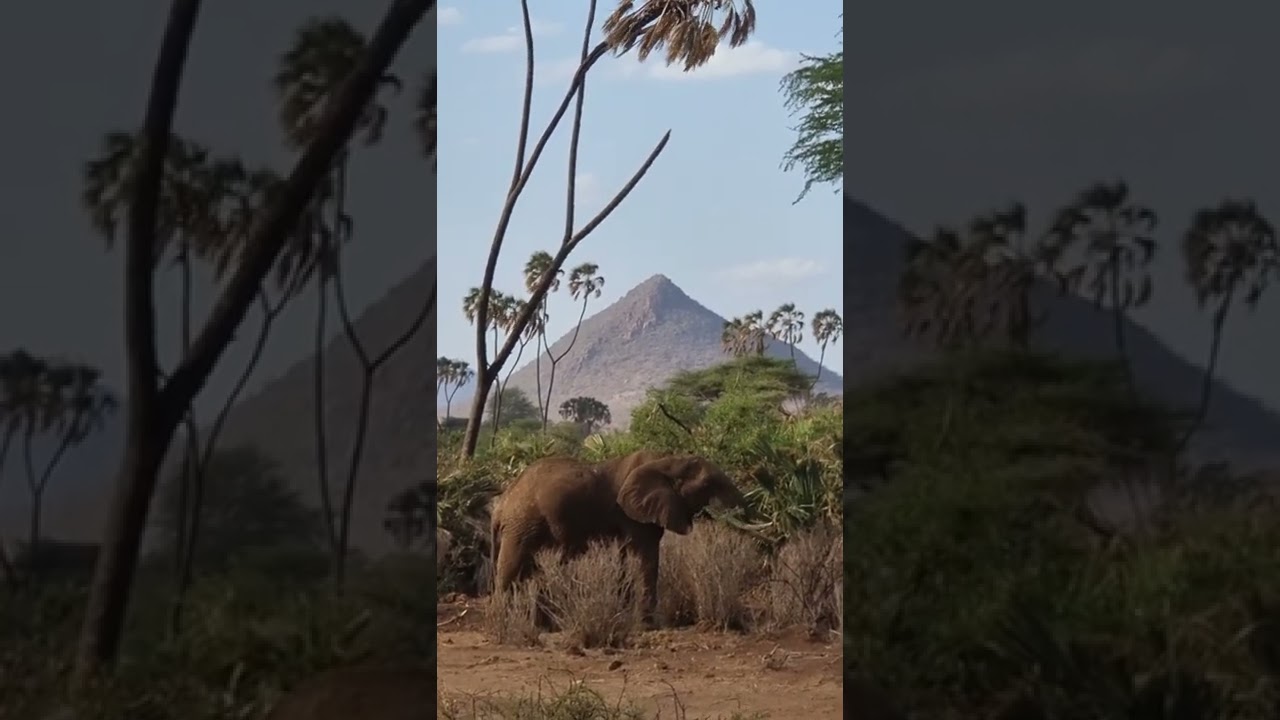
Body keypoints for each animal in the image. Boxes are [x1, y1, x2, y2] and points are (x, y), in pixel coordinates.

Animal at [490, 450, 748, 620]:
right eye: (708, 485)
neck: (668, 460)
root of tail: (501, 504)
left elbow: (626, 555)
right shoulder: (632, 514)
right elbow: (646, 555)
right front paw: (647, 621)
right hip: (521, 524)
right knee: (510, 568)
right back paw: (506, 619)